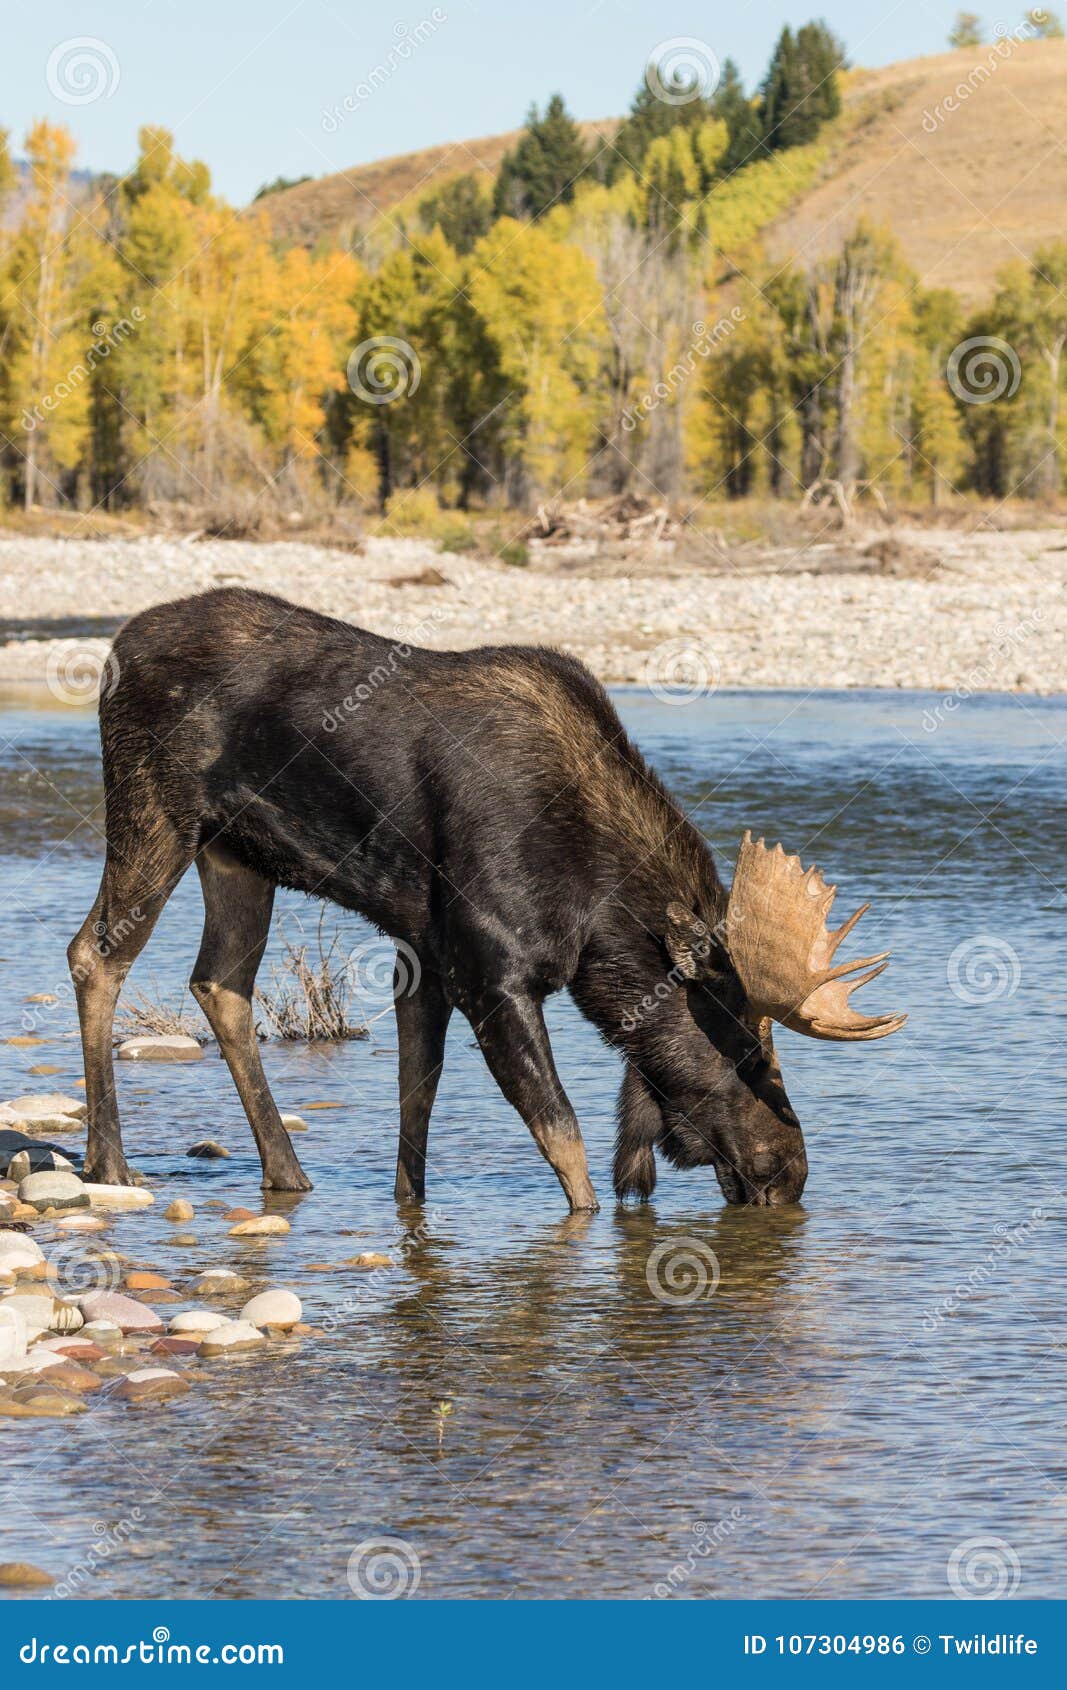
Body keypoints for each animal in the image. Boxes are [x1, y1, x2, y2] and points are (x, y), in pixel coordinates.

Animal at [68, 588, 904, 1213]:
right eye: (749, 1049)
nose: (790, 1172)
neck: (594, 917)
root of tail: (114, 649)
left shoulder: (423, 955)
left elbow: (417, 1105)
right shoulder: (489, 971)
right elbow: (561, 1135)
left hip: (236, 854)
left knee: (220, 983)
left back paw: (286, 1171)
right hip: (156, 808)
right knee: (95, 954)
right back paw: (109, 1161)